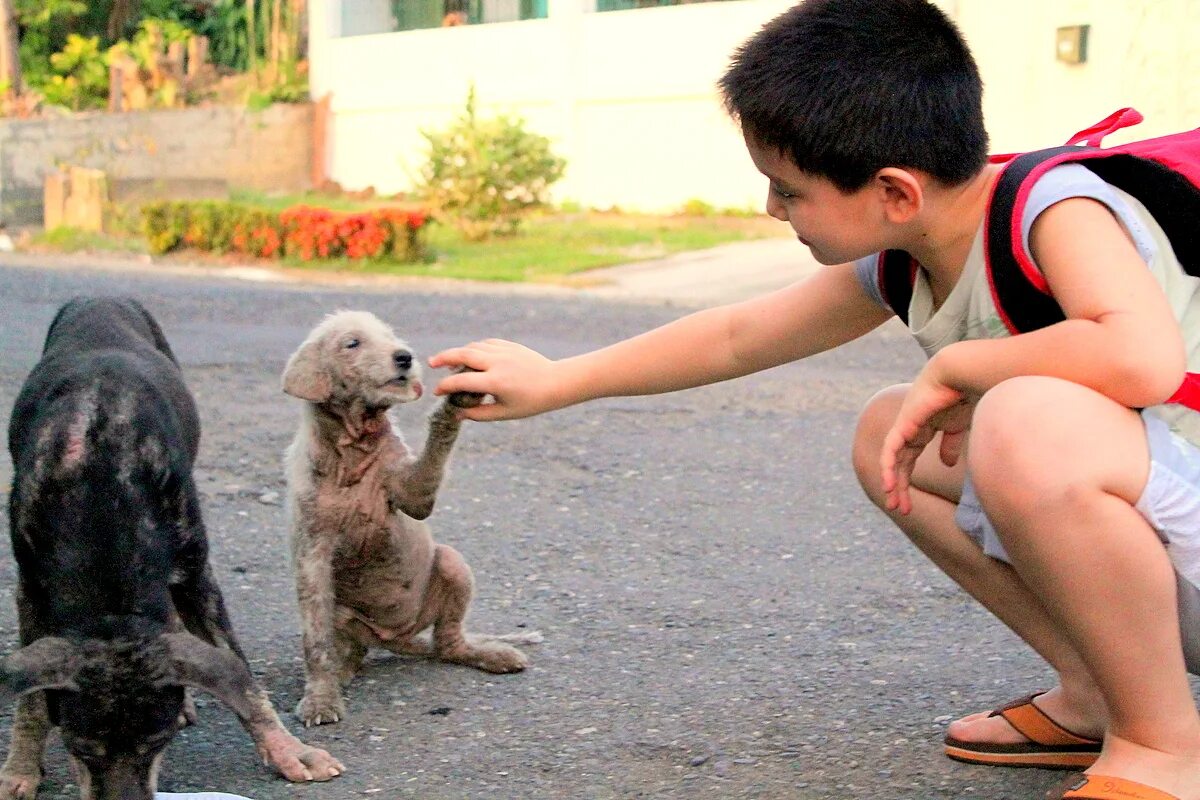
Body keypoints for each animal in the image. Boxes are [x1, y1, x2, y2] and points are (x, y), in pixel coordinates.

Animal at [0, 298, 343, 800]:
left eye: (156, 743)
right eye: (80, 747)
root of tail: (101, 297)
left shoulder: (196, 571)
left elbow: (241, 675)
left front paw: (287, 749)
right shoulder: (31, 584)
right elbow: (32, 700)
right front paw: (21, 765)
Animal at [280, 311, 540, 724]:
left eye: (390, 336)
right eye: (352, 343)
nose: (404, 356)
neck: (352, 449)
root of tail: (397, 636)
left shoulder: (414, 494)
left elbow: (433, 457)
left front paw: (460, 395)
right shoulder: (311, 556)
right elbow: (314, 639)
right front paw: (321, 697)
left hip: (451, 564)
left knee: (449, 642)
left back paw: (487, 654)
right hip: (345, 615)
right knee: (352, 649)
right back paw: (342, 669)